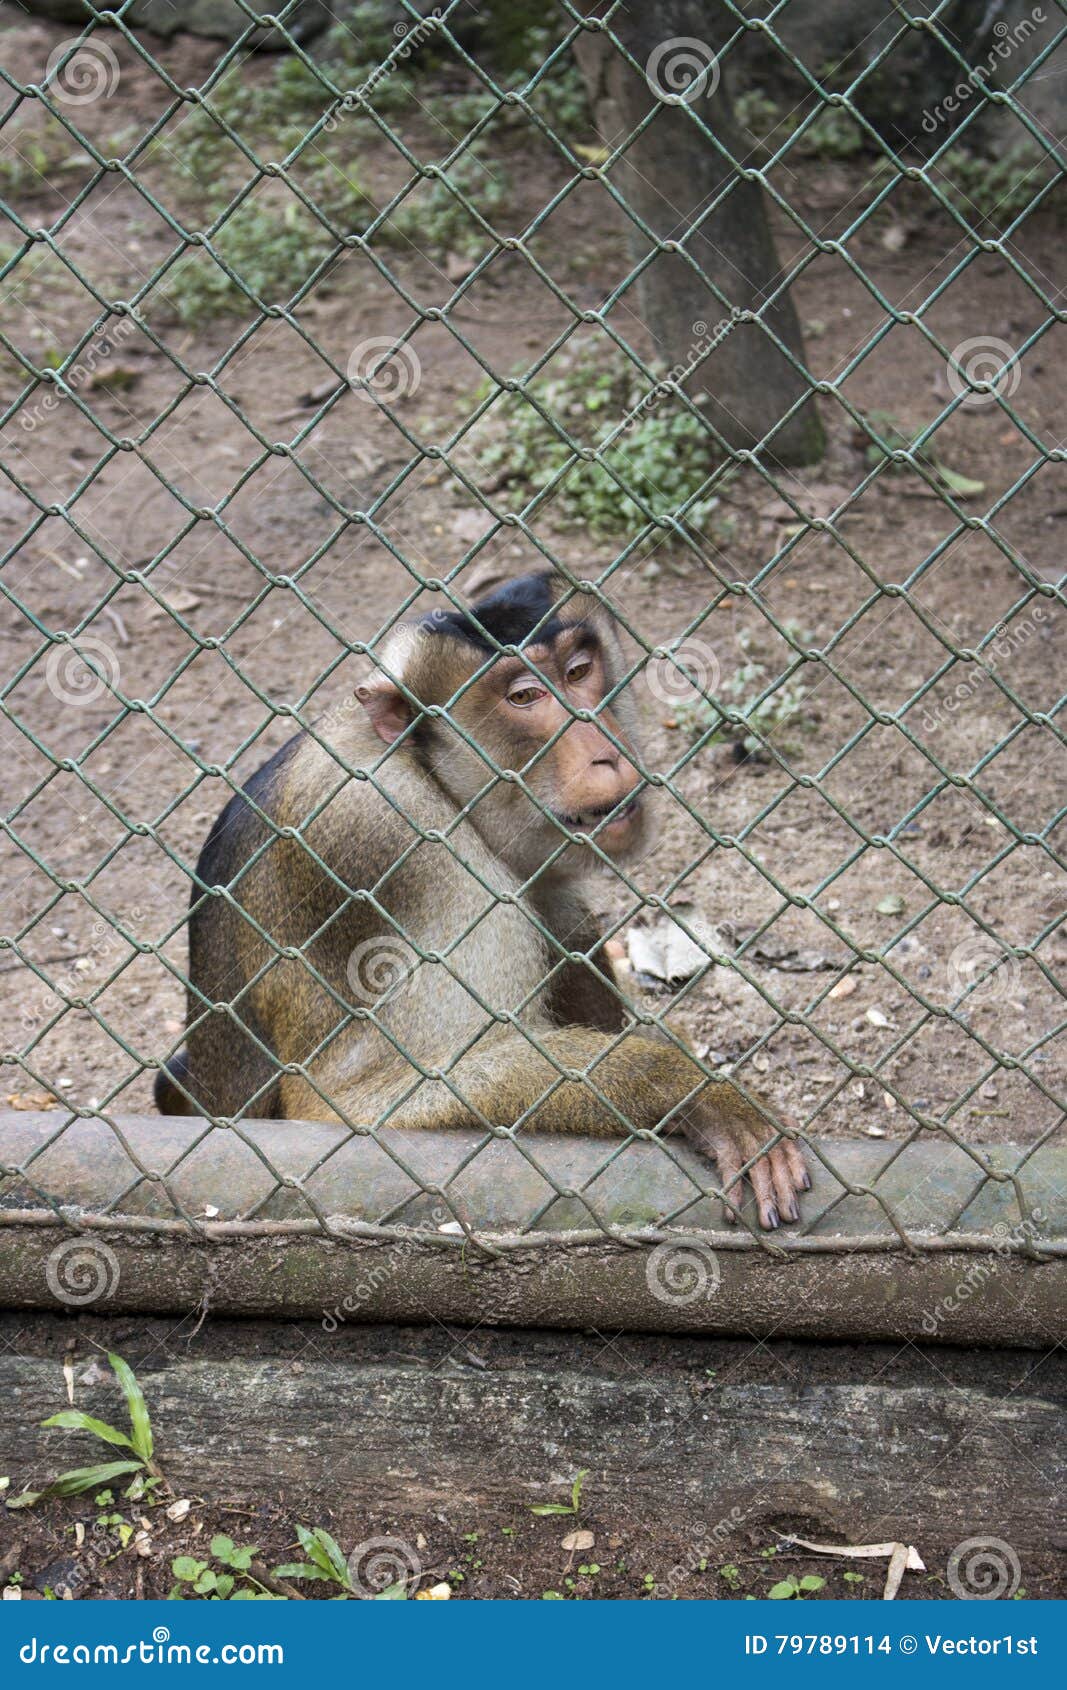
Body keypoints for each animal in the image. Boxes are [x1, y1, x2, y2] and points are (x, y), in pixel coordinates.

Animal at [156, 570, 808, 1230]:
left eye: (579, 671)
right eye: (524, 697)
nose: (606, 750)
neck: (432, 775)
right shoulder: (405, 849)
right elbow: (346, 1107)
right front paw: (694, 1093)